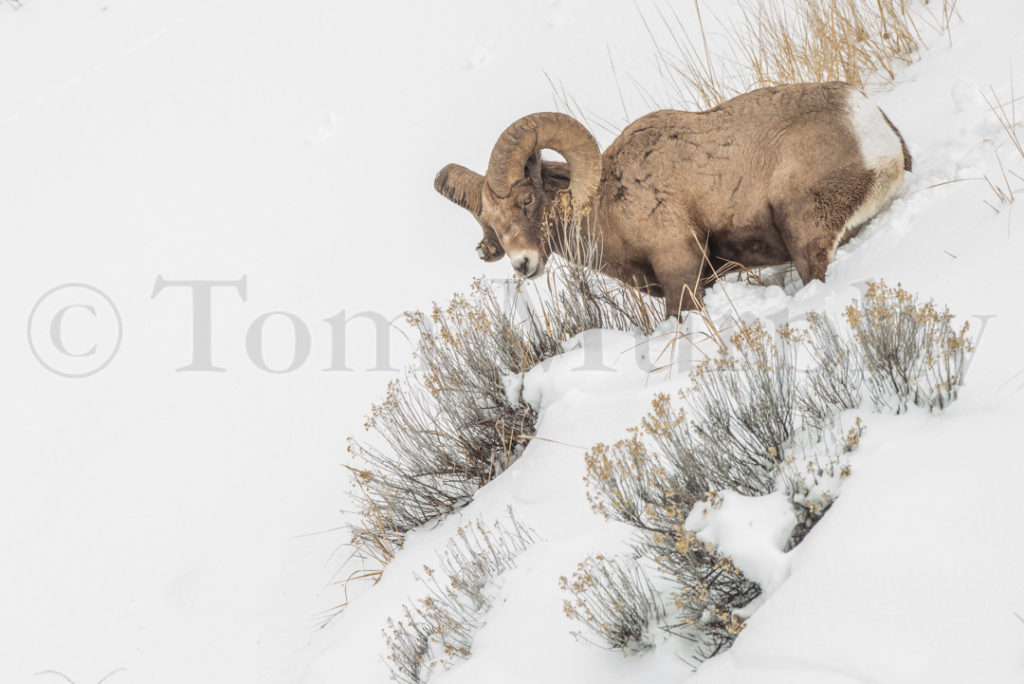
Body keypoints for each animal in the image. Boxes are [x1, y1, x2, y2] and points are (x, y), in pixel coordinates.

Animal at [435, 81, 911, 317]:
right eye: (491, 222)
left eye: (527, 200)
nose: (523, 265)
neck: (607, 207)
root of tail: (878, 137)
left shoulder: (679, 268)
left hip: (805, 230)